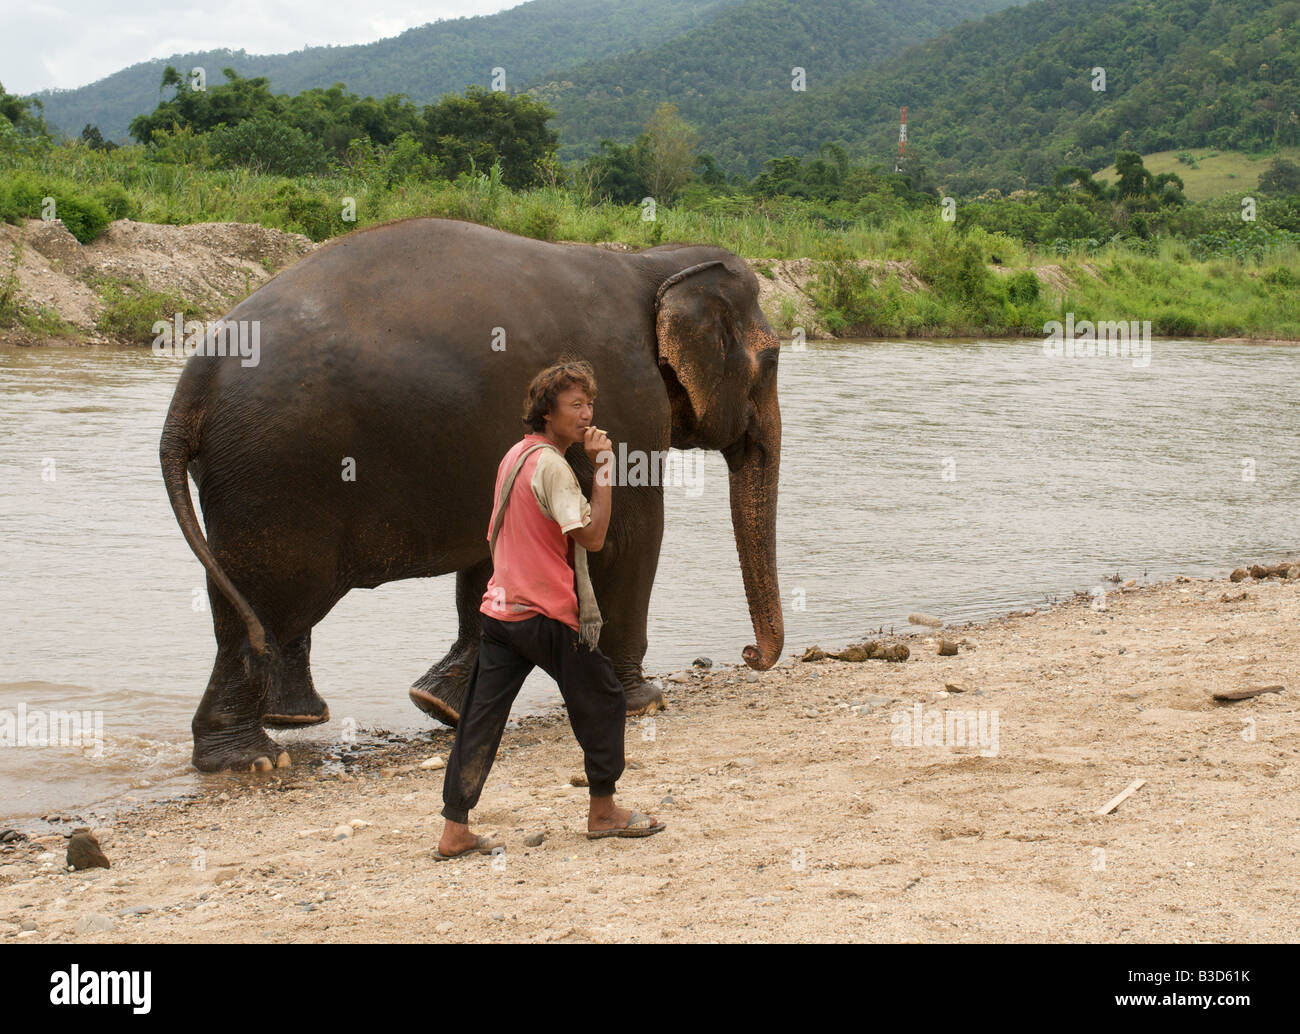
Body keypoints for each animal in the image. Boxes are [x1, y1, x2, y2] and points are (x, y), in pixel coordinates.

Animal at [159, 217, 783, 773]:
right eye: (774, 357)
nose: (751, 656)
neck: (650, 262)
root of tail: (193, 384)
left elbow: (494, 554)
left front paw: (439, 706)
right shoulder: (628, 399)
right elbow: (628, 535)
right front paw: (643, 701)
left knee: (248, 601)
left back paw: (289, 724)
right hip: (277, 472)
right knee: (273, 598)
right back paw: (252, 758)